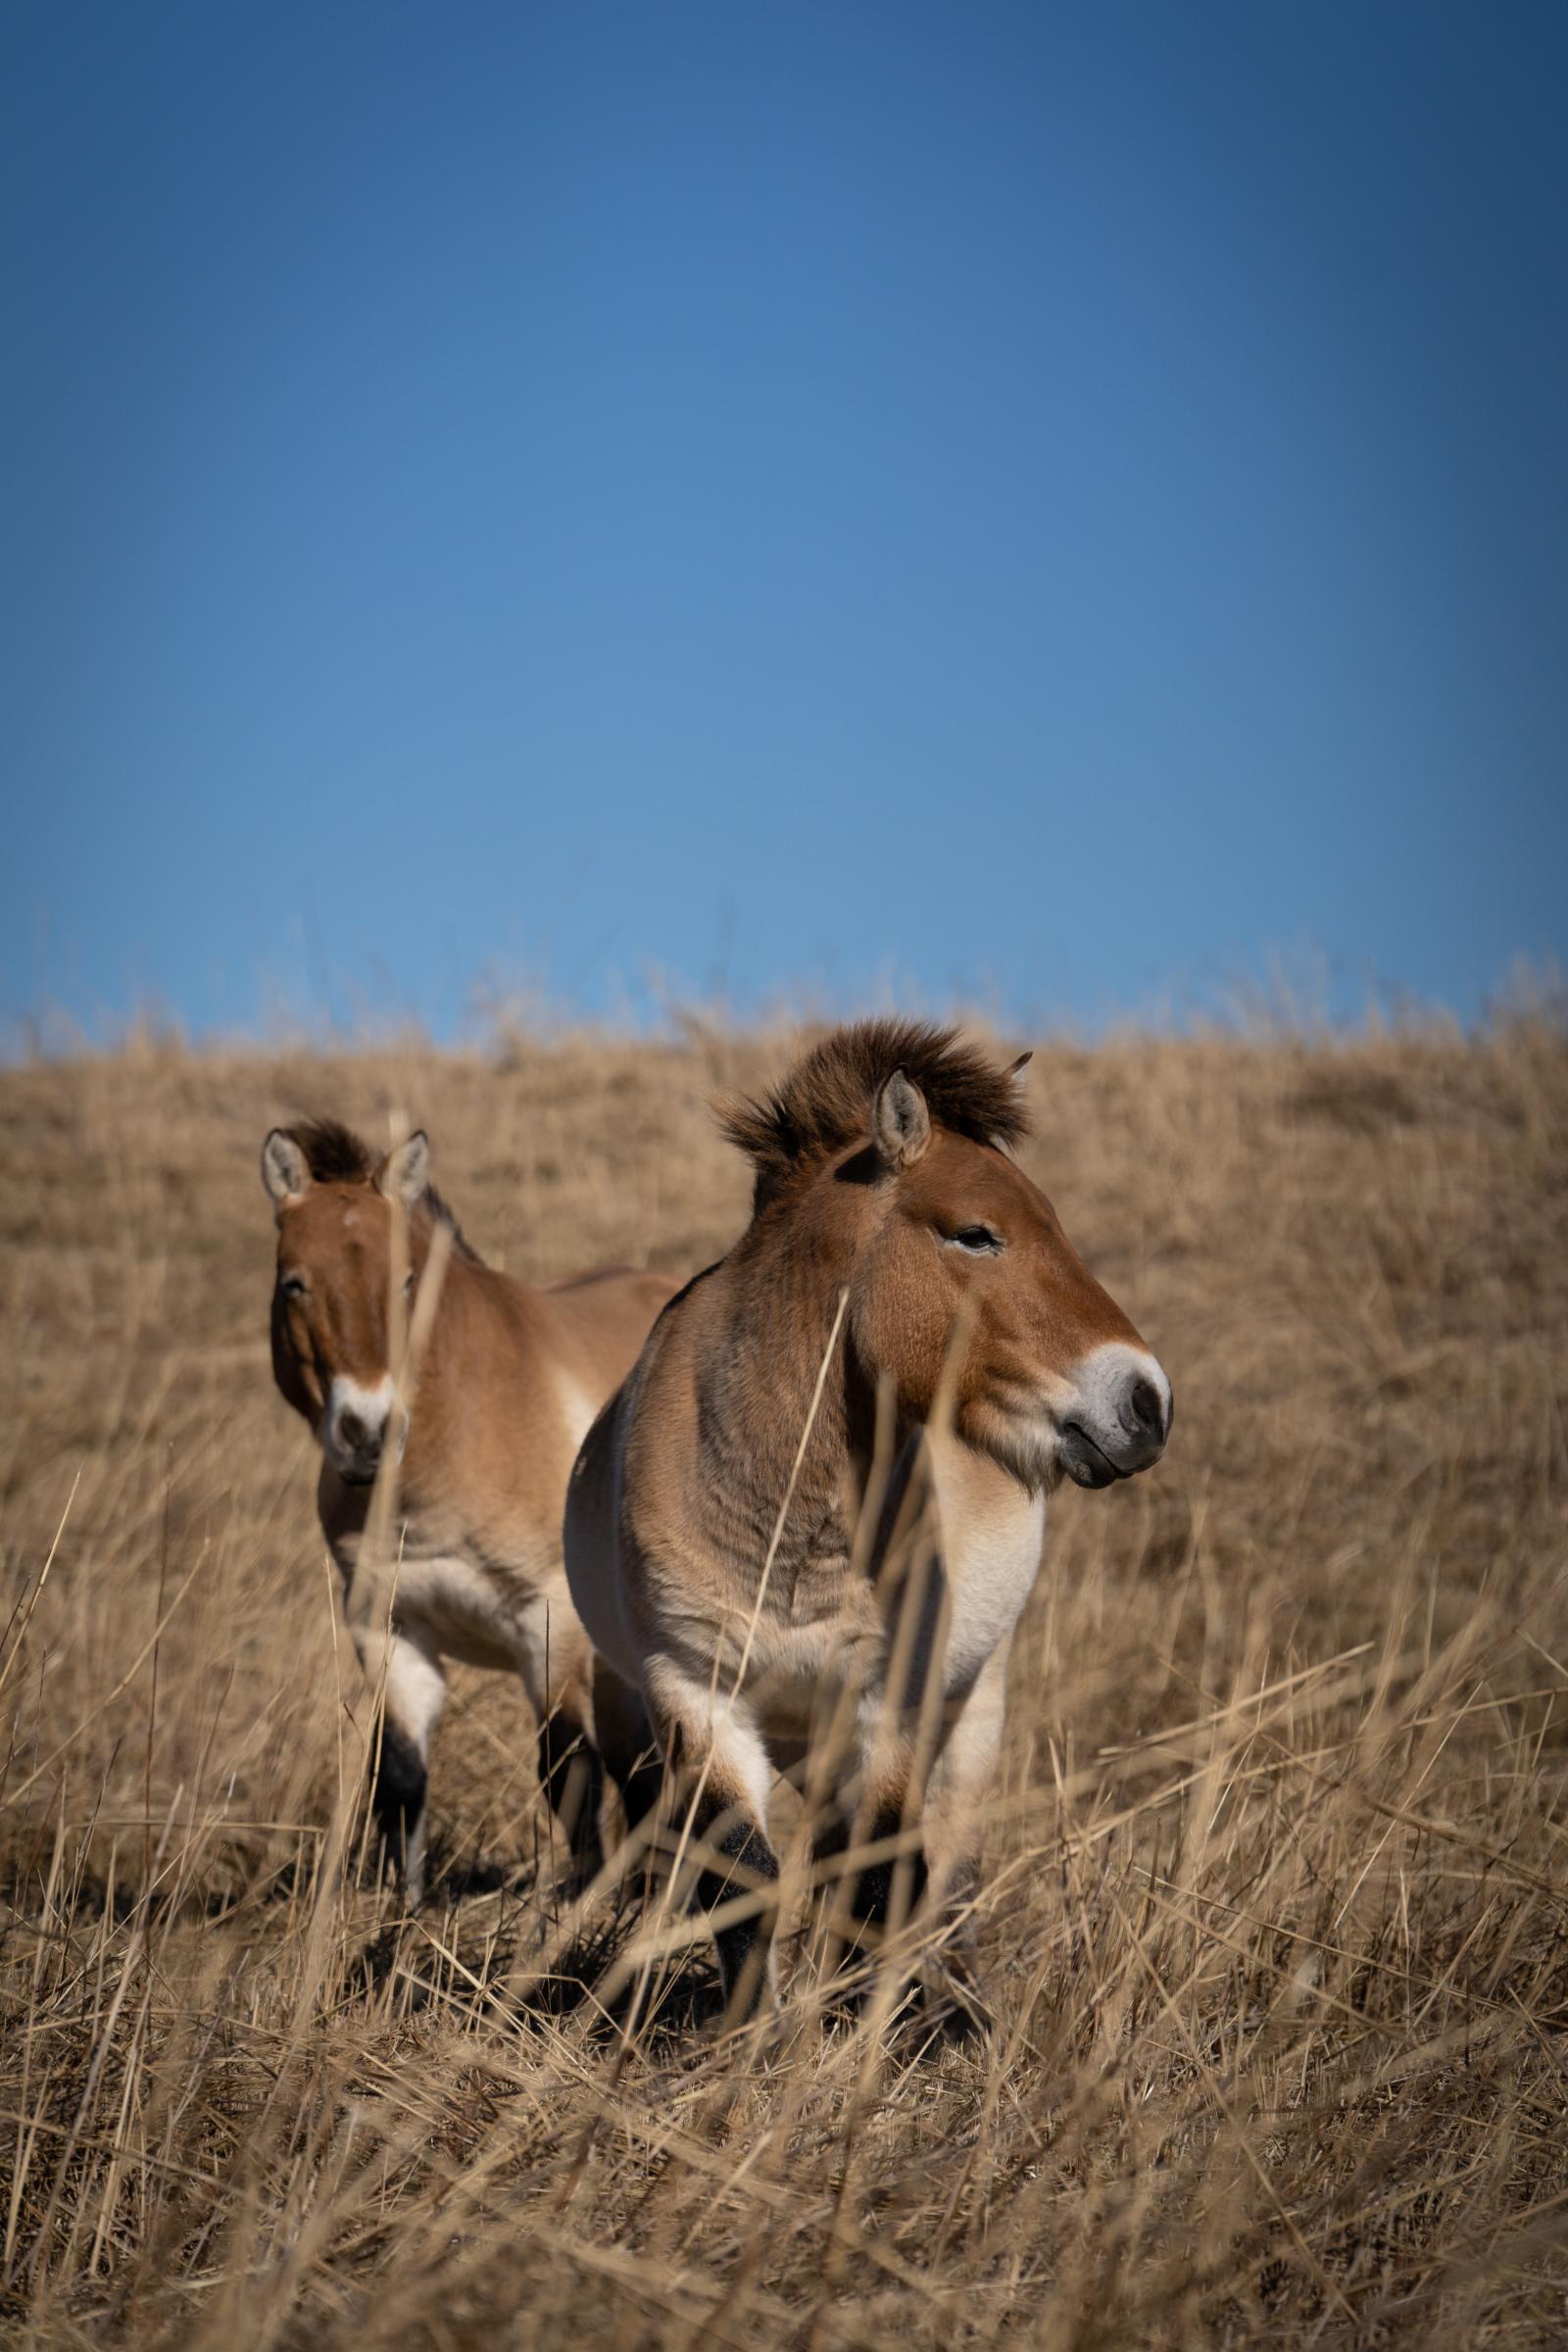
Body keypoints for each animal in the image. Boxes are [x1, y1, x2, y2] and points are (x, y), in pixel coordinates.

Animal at [263, 1117, 677, 1904]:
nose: (366, 1433)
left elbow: (565, 1770)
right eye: (294, 1283)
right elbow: (400, 1780)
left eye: (406, 1281)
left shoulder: (548, 1627)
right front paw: (404, 1917)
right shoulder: (389, 1632)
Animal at [563, 1019, 1172, 2024]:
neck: (782, 1525)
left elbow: (883, 1883)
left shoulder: (885, 1707)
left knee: (944, 1874)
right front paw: (750, 2042)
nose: (1147, 1402)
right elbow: (745, 1886)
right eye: (976, 1233)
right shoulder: (696, 1697)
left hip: (969, 1709)